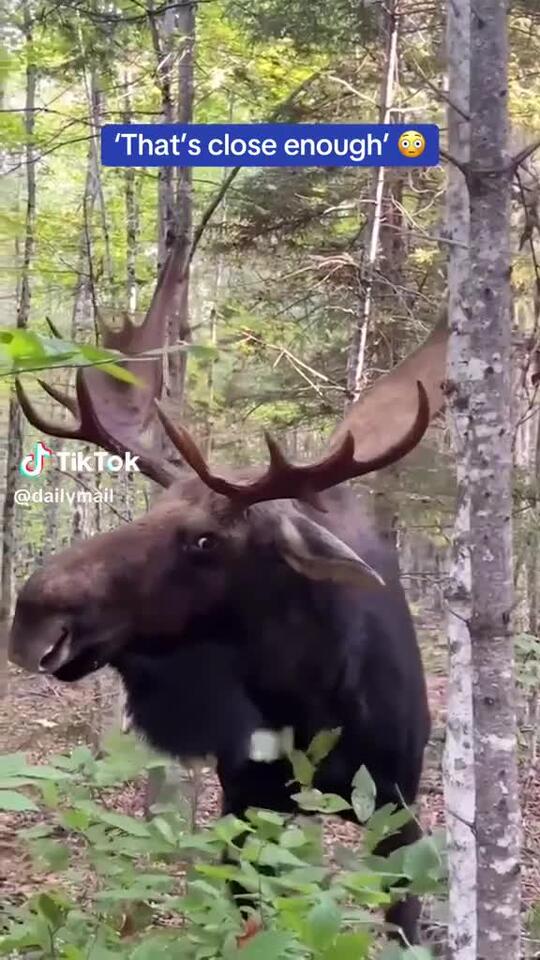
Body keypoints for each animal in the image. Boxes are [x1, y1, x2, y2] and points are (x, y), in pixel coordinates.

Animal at [8, 237, 448, 944]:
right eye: (149, 510)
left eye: (204, 541)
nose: (33, 616)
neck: (310, 696)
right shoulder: (241, 798)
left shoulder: (397, 807)